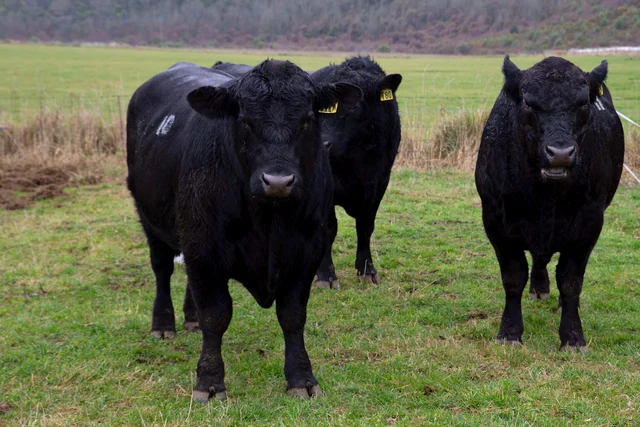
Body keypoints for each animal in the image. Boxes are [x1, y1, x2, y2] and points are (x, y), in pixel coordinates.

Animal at [126, 60, 362, 401]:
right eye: (245, 121)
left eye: (307, 119)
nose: (277, 182)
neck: (269, 222)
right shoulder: (205, 252)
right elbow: (216, 315)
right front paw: (209, 382)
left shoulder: (307, 253)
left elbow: (293, 316)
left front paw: (302, 378)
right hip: (150, 219)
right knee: (162, 269)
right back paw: (163, 324)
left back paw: (190, 318)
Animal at [475, 56, 624, 351]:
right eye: (528, 103)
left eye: (583, 103)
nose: (560, 153)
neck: (544, 197)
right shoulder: (495, 219)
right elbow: (513, 277)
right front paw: (509, 332)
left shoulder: (590, 223)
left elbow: (570, 280)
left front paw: (573, 337)